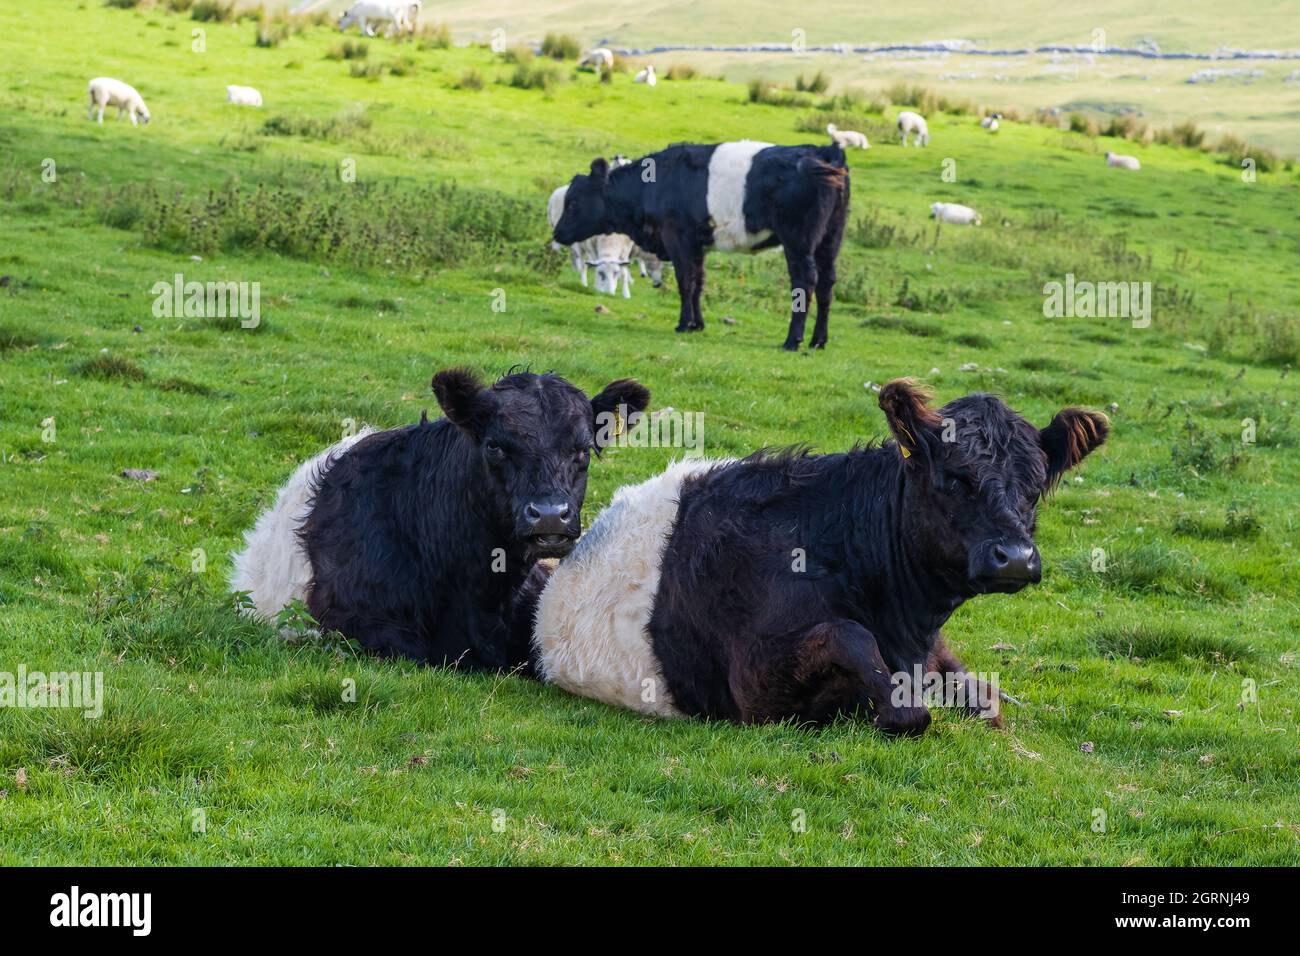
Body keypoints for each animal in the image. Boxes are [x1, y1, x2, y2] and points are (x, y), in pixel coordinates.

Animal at [531, 379, 1109, 734]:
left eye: (1035, 487)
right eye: (954, 478)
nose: (1017, 557)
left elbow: (985, 698)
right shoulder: (755, 692)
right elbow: (855, 644)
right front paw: (897, 710)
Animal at [552, 141, 851, 351]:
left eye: (574, 202)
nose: (557, 232)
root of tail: (826, 151)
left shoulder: (677, 238)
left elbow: (686, 281)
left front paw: (684, 324)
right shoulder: (697, 244)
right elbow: (698, 282)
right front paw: (697, 324)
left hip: (798, 241)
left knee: (805, 283)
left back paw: (793, 340)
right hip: (830, 239)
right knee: (827, 285)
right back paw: (818, 340)